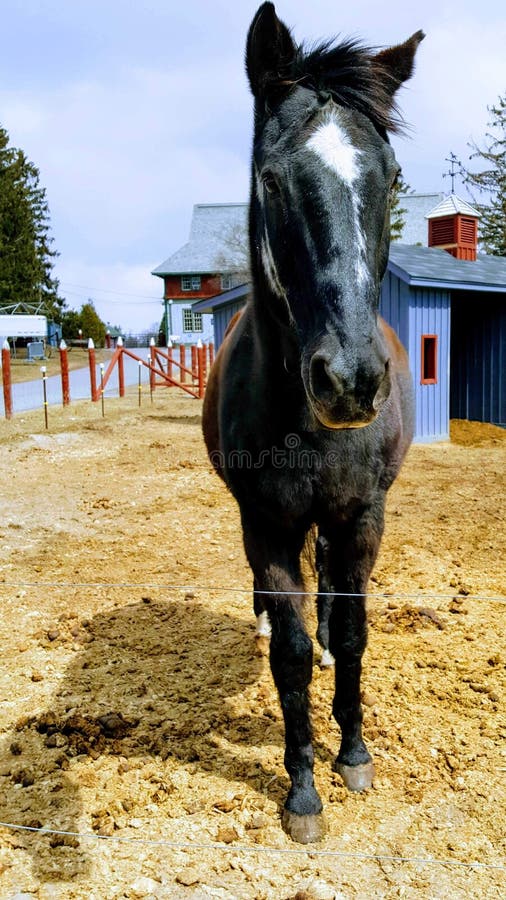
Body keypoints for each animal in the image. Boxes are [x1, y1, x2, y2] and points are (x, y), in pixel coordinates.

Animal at [202, 2, 423, 843]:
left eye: (390, 177)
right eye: (271, 177)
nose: (351, 379)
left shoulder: (361, 513)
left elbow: (355, 632)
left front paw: (353, 754)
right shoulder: (264, 522)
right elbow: (290, 654)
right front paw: (301, 790)